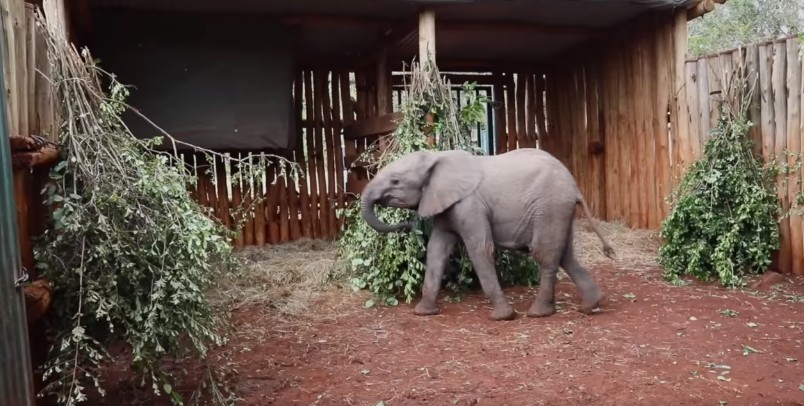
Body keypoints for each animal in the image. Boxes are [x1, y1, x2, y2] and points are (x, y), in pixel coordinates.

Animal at [359, 147, 615, 321]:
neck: (437, 157)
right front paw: (423, 312)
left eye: (395, 181)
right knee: (565, 255)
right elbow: (436, 249)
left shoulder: (470, 204)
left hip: (550, 207)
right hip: (560, 210)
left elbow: (480, 249)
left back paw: (538, 313)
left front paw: (503, 317)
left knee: (545, 254)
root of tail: (574, 185)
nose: (405, 225)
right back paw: (590, 306)